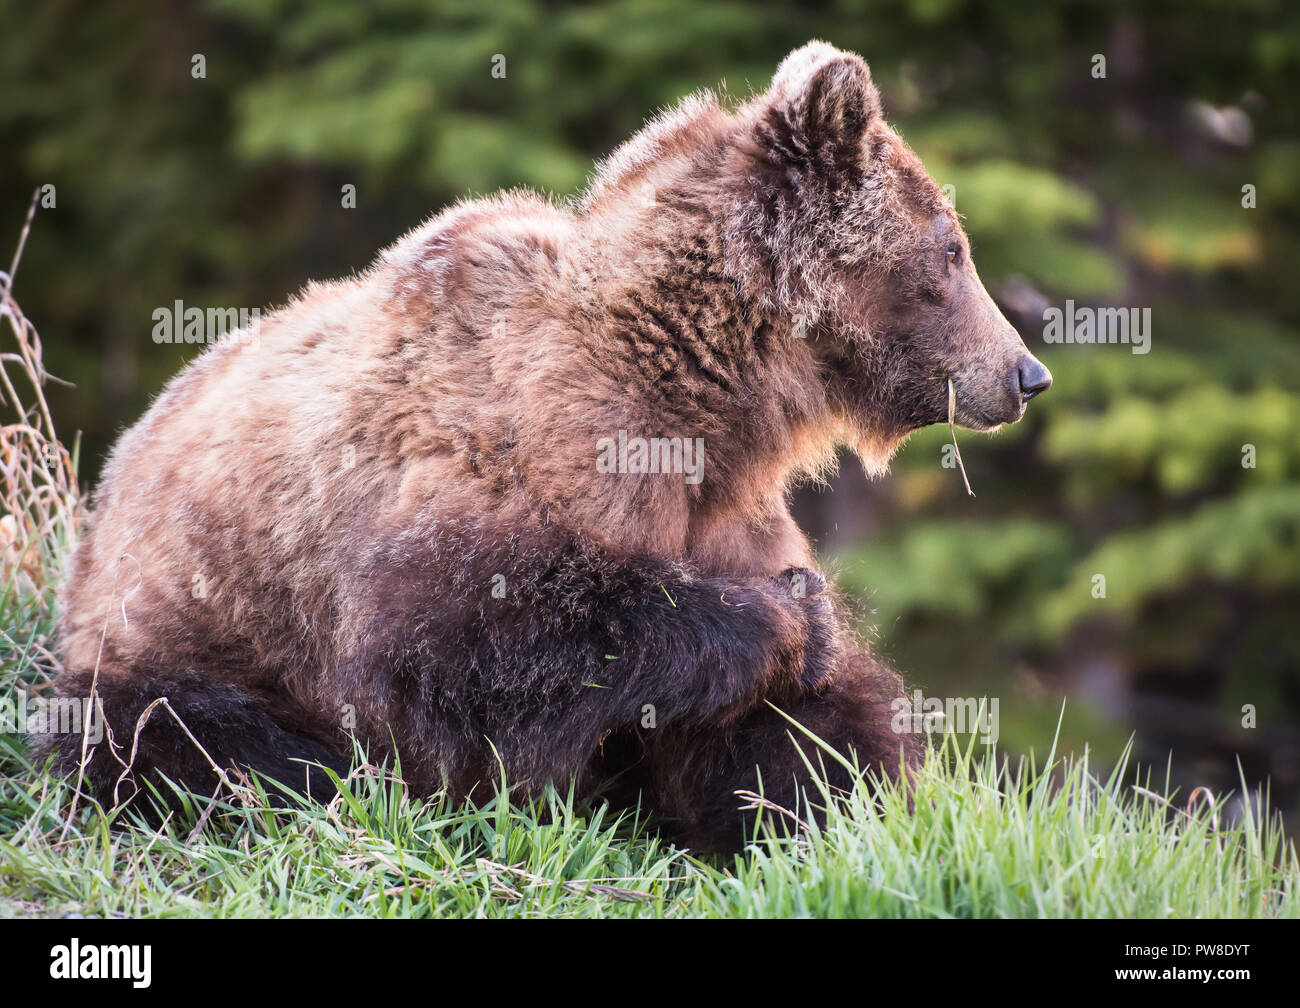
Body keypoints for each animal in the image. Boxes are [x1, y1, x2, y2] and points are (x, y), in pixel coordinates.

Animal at [33, 41, 1051, 851]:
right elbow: (466, 644)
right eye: (953, 246)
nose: (1026, 372)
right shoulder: (498, 460)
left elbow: (785, 722)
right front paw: (785, 623)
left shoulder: (723, 505)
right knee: (187, 739)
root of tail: (108, 488)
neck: (709, 392)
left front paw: (821, 800)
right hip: (160, 638)